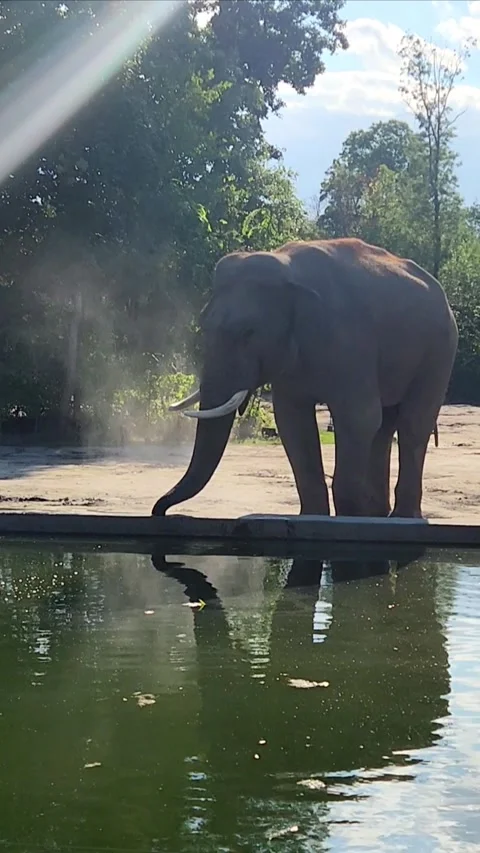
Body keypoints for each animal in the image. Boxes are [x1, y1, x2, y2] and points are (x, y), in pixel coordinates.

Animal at [152, 237, 458, 519]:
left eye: (248, 333)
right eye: (203, 326)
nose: (162, 511)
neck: (288, 269)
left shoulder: (349, 341)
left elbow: (358, 418)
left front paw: (346, 518)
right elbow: (292, 423)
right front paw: (314, 516)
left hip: (440, 349)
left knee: (413, 423)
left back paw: (400, 517)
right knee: (386, 425)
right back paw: (376, 515)